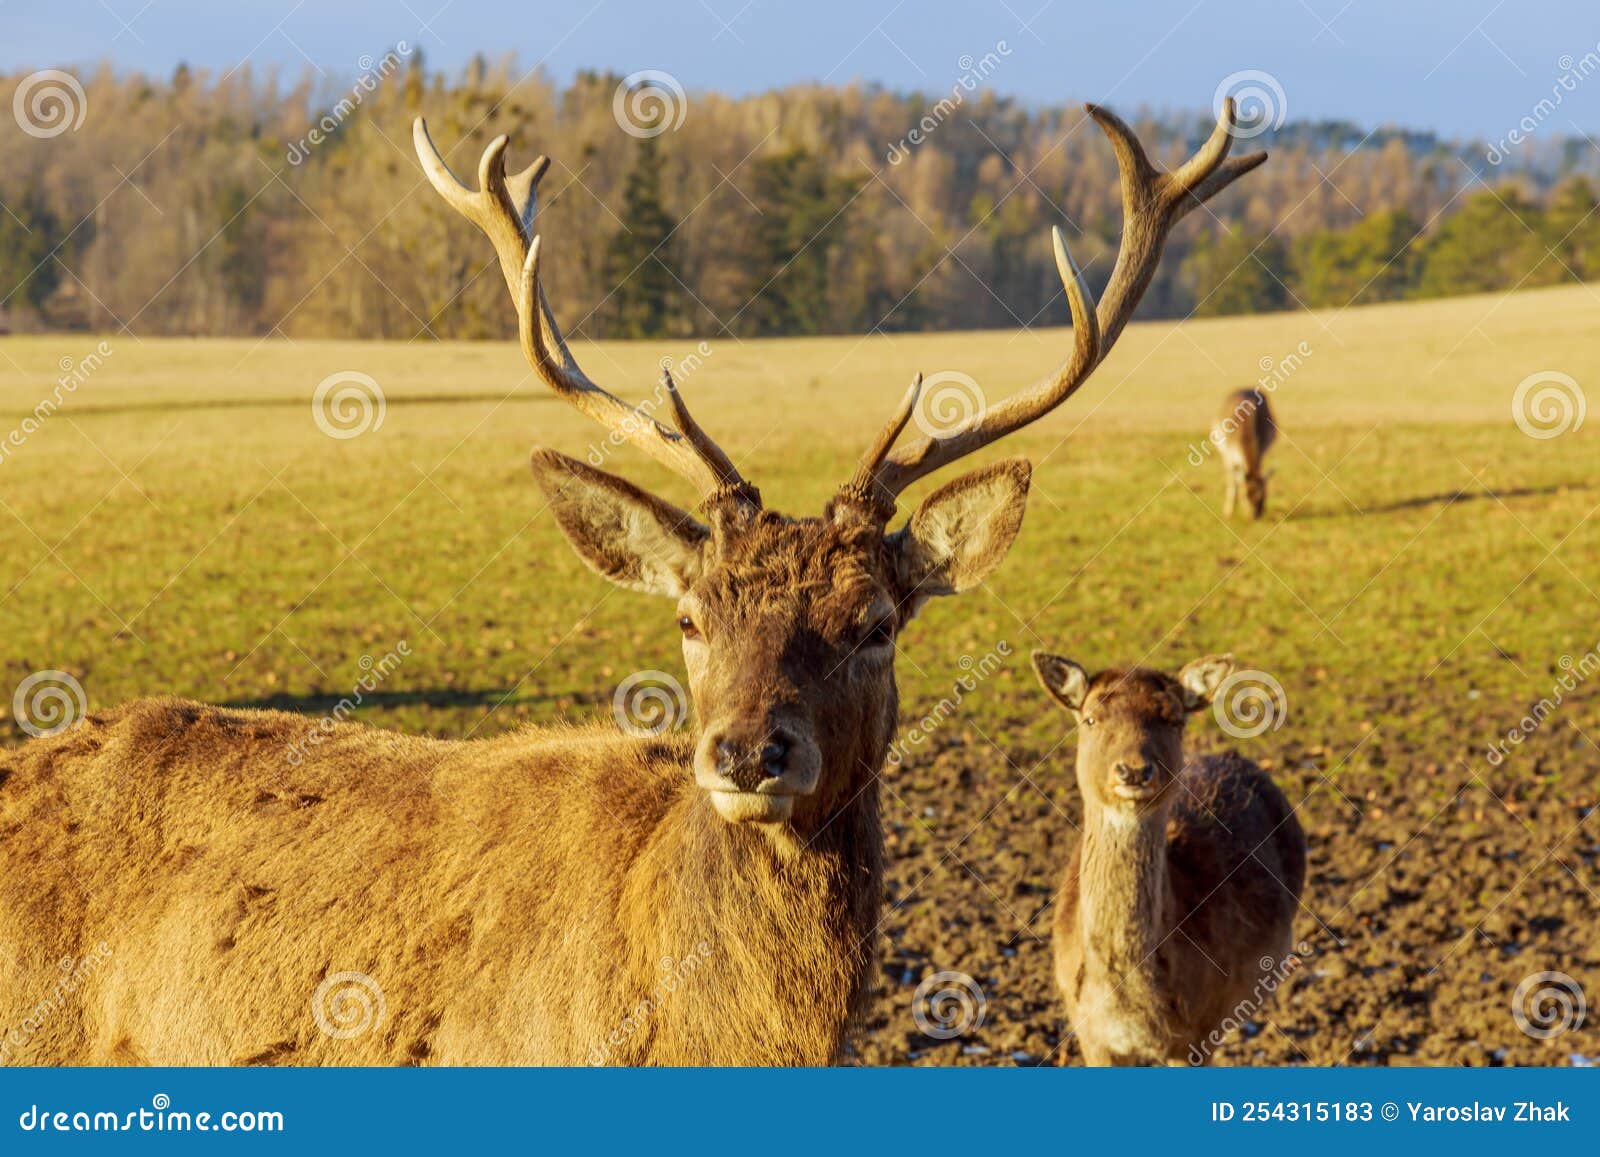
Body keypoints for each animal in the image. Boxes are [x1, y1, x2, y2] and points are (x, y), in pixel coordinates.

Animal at [1214, 387, 1276, 519]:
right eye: (1245, 495)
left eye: (1264, 494)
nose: (1254, 517)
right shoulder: (1228, 454)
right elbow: (1232, 480)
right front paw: (1228, 511)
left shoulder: (1262, 451)